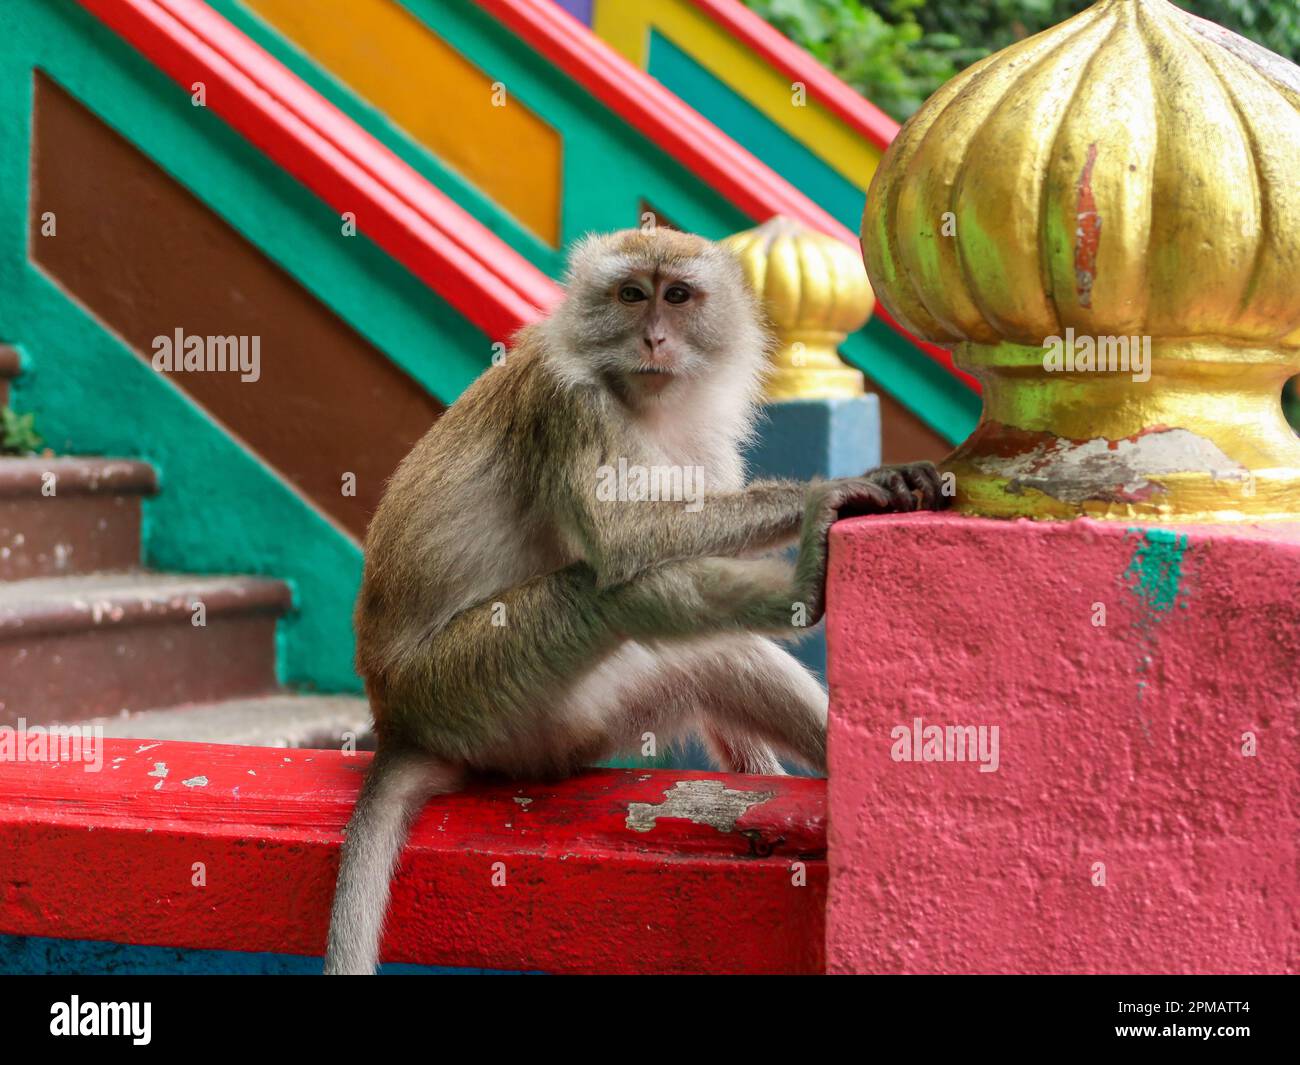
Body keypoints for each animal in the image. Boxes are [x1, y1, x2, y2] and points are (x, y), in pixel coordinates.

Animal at [324, 227, 947, 974]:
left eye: (676, 296)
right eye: (630, 294)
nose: (653, 338)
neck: (647, 404)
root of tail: (396, 723)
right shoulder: (572, 406)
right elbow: (619, 543)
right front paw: (827, 495)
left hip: (572, 721)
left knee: (712, 655)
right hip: (468, 692)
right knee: (610, 595)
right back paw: (798, 592)